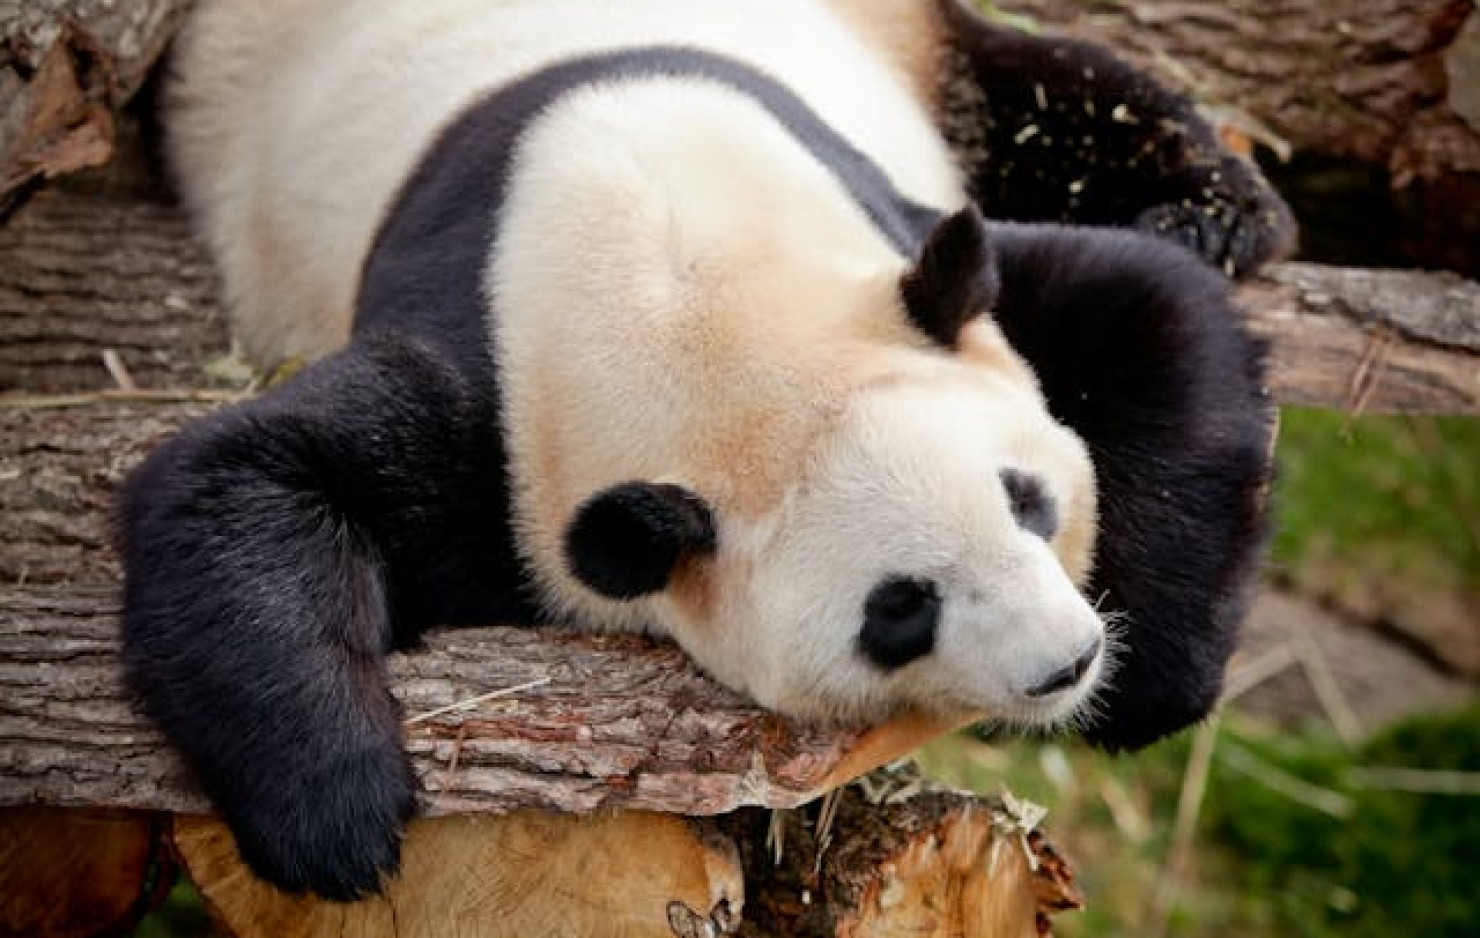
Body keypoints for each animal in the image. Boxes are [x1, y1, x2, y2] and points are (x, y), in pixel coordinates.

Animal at [119, 0, 1292, 901]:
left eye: (1025, 497)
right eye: (899, 608)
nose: (1066, 661)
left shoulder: (891, 242)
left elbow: (1147, 301)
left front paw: (1154, 680)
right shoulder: (502, 416)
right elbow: (237, 476)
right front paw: (341, 816)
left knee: (1049, 86)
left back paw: (1219, 208)